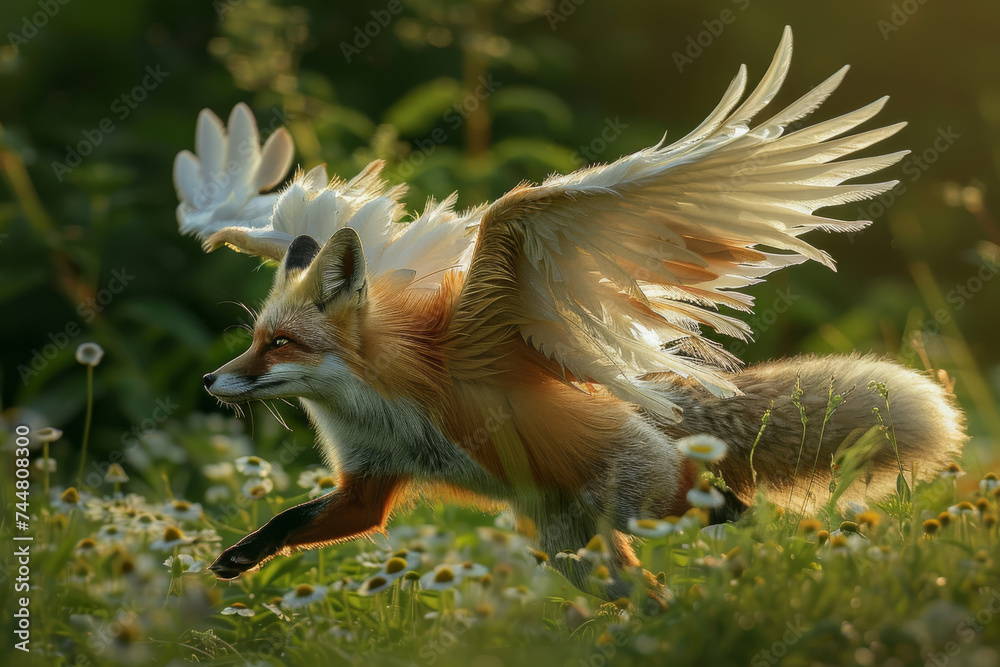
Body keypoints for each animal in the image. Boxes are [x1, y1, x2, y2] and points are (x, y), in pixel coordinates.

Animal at [176, 27, 966, 599]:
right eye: (257, 339)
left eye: (281, 343)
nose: (211, 381)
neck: (376, 399)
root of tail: (664, 418)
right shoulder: (369, 481)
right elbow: (291, 518)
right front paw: (240, 557)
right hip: (576, 551)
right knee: (645, 592)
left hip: (640, 502)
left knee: (732, 508)